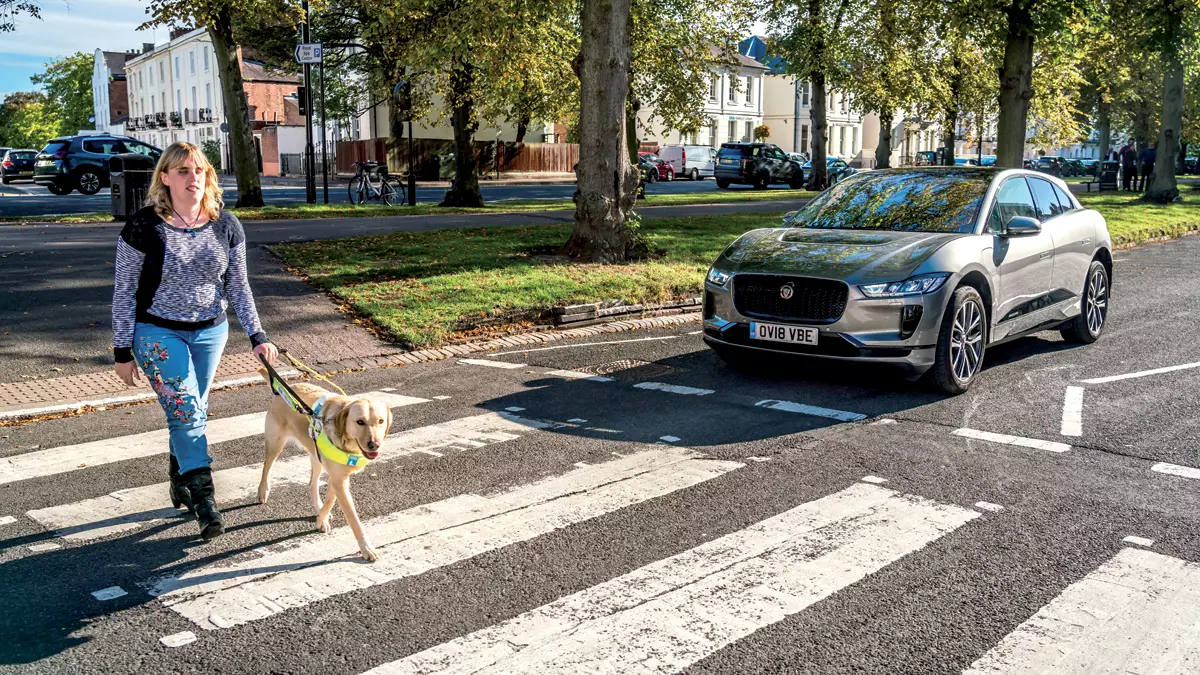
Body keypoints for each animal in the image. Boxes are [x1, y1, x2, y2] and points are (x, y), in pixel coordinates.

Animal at [255, 367, 391, 557]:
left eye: (380, 421)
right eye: (360, 422)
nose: (374, 445)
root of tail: (285, 387)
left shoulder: (339, 477)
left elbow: (330, 500)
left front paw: (321, 518)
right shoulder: (339, 480)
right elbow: (354, 519)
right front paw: (366, 548)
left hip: (316, 456)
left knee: (312, 484)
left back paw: (318, 508)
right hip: (275, 444)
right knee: (266, 467)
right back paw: (263, 491)